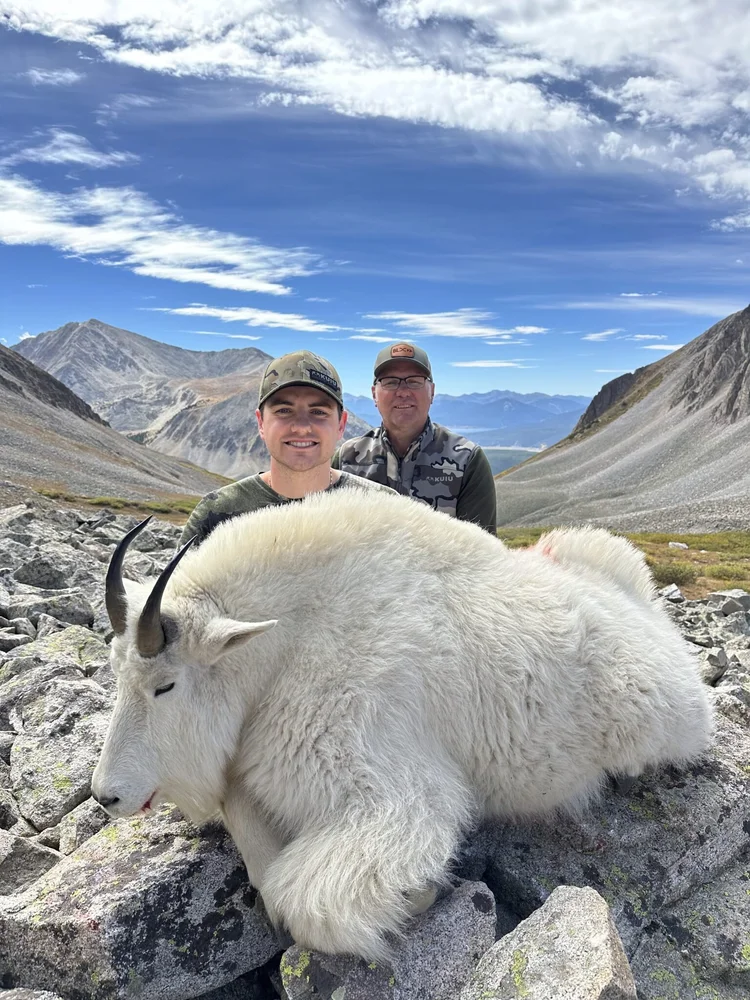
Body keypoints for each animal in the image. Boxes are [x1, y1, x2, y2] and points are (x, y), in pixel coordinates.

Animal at [92, 487, 712, 961]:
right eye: (114, 671)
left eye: (165, 685)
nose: (106, 796)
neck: (289, 639)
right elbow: (260, 856)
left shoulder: (379, 783)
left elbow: (303, 899)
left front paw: (426, 892)